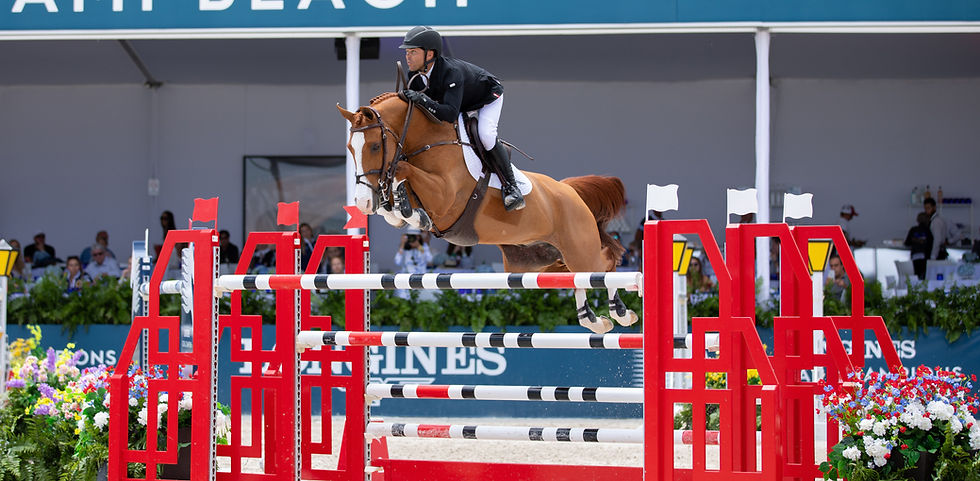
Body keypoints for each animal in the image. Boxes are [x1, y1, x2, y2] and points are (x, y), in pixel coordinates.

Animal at [337, 92, 637, 333]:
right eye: (351, 148)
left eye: (375, 146)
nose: (362, 202)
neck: (427, 143)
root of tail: (569, 190)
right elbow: (395, 208)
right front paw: (400, 206)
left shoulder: (446, 198)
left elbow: (402, 169)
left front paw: (407, 202)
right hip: (537, 262)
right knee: (576, 277)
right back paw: (592, 319)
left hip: (578, 249)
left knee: (604, 262)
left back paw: (620, 312)